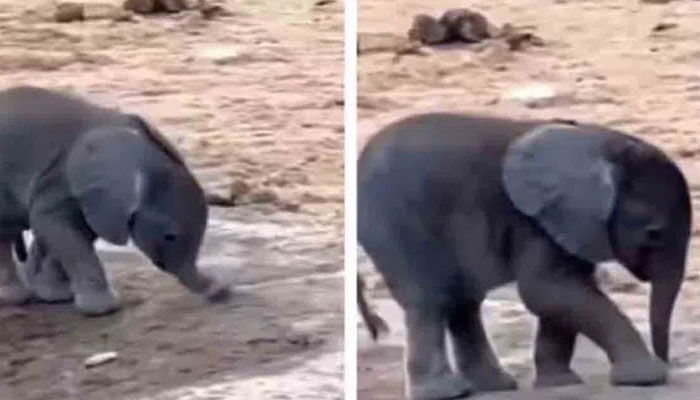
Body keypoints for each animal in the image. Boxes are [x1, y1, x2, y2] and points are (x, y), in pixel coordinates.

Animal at [0, 86, 230, 315]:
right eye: (169, 236)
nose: (221, 292)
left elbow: (78, 231)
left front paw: (58, 296)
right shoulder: (59, 178)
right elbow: (55, 227)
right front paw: (103, 309)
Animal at [358, 113, 691, 400]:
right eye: (654, 234)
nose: (670, 365)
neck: (599, 141)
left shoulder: (566, 221)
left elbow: (561, 293)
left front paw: (561, 384)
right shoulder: (534, 221)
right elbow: (547, 290)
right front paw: (647, 377)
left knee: (463, 302)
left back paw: (494, 386)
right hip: (396, 224)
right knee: (431, 299)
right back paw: (448, 393)